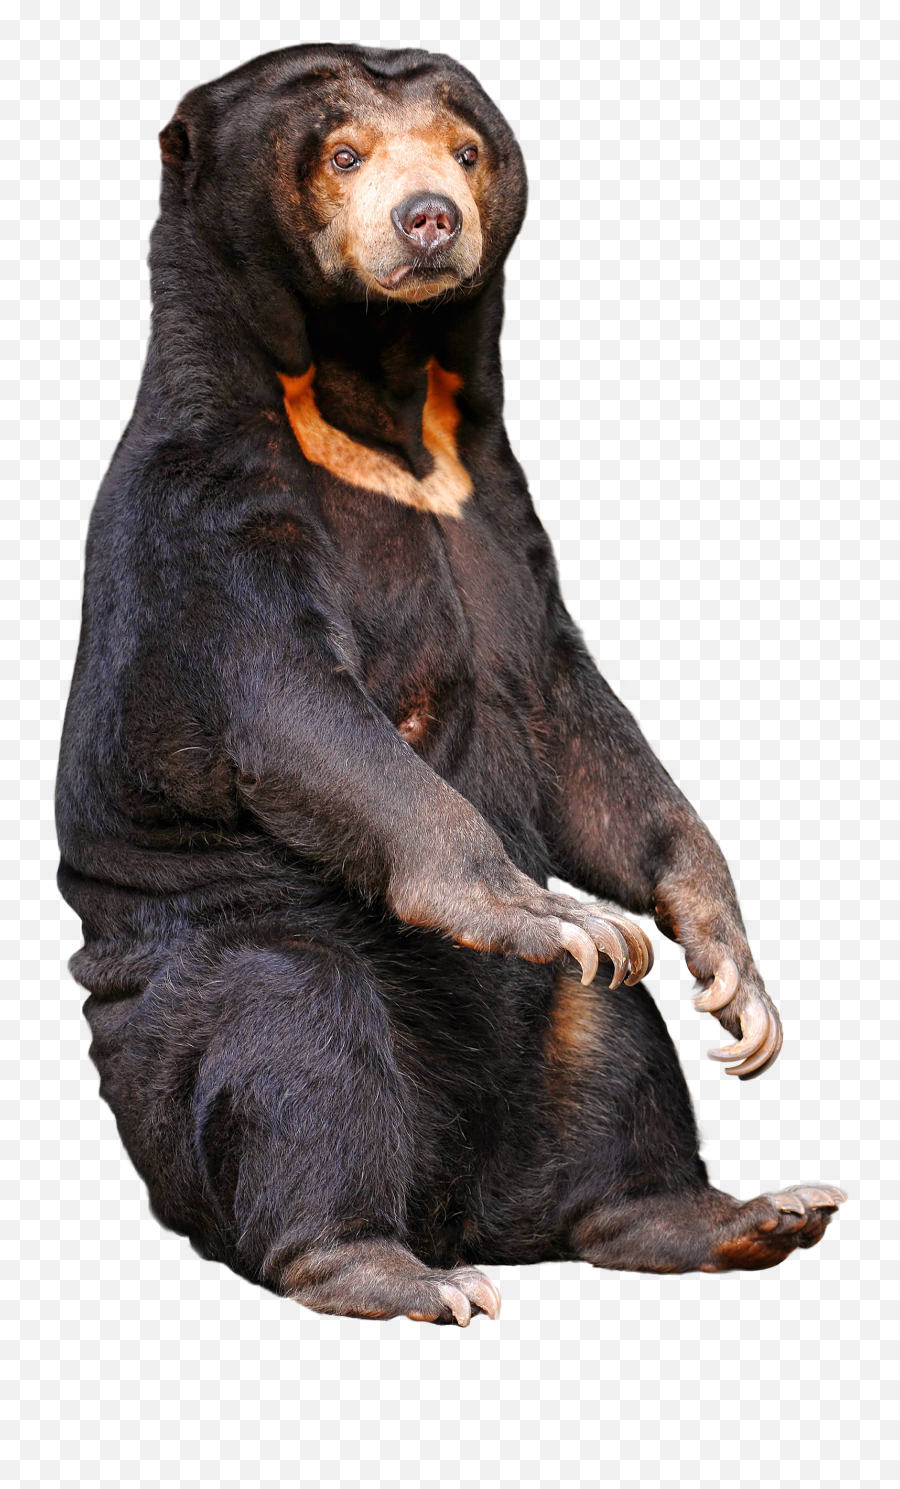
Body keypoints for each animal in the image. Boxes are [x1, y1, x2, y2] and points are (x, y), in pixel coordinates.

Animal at [55, 43, 844, 1326]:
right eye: (342, 153)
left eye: (466, 149)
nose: (428, 217)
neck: (375, 402)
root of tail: (461, 1205)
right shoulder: (209, 504)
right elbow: (297, 710)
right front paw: (545, 909)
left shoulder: (496, 507)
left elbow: (579, 724)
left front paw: (736, 979)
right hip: (201, 992)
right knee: (298, 1038)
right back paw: (391, 1269)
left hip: (543, 1069)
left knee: (613, 1042)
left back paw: (732, 1214)